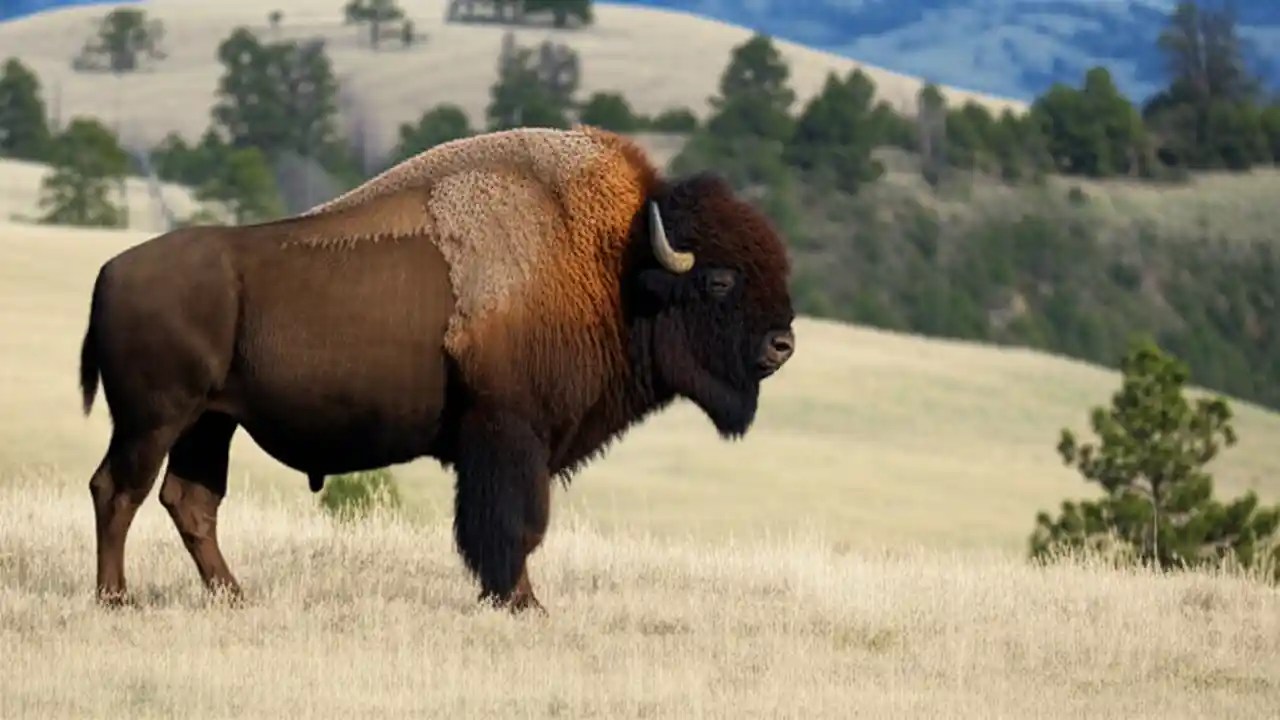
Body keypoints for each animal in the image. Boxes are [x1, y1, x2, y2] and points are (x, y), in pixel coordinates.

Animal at [77, 126, 796, 612]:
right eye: (720, 280)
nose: (783, 343)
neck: (616, 264)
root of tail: (112, 269)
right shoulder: (509, 436)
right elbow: (514, 525)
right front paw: (523, 603)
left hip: (209, 424)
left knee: (190, 502)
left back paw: (234, 595)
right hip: (155, 420)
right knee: (118, 491)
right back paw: (117, 598)